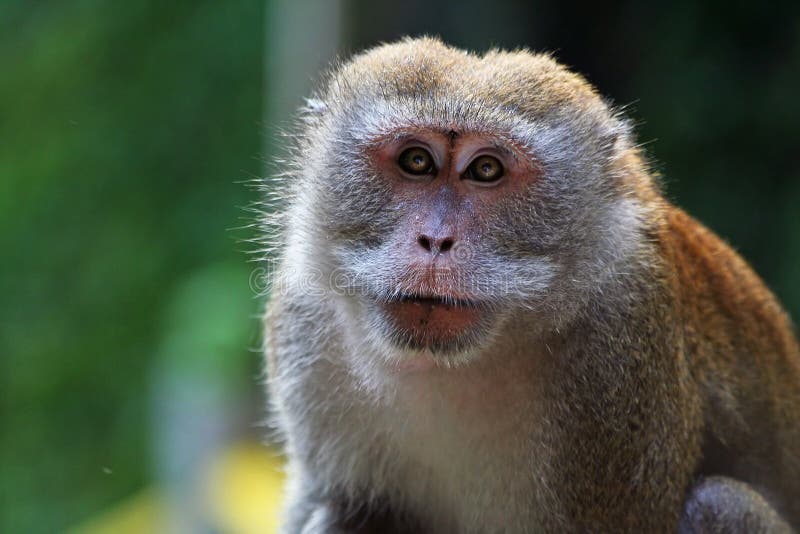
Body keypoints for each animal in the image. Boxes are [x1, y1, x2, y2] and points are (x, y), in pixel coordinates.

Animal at [262, 37, 800, 533]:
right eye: (416, 161)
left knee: (720, 504)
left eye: (486, 169)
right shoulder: (304, 319)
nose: (435, 240)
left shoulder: (622, 352)